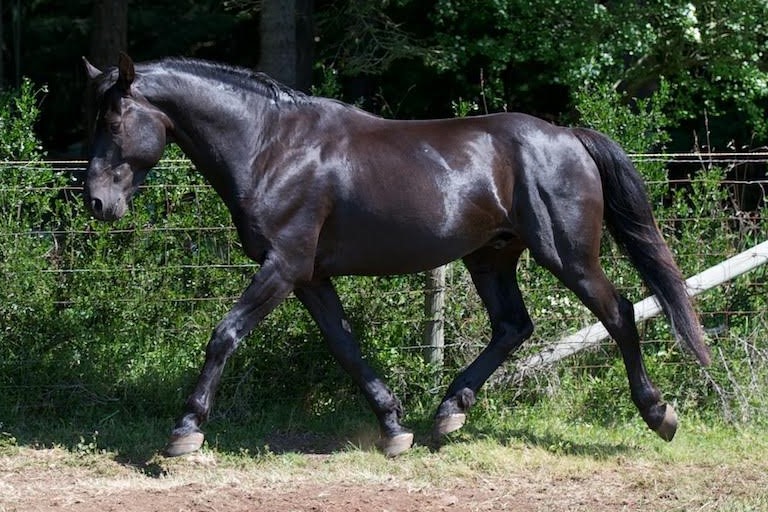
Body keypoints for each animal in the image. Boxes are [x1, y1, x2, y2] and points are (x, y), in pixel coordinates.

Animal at [82, 53, 710, 457]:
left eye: (114, 118)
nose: (96, 201)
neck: (272, 147)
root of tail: (569, 136)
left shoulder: (283, 266)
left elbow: (225, 334)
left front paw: (186, 430)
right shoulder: (308, 276)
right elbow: (345, 347)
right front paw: (392, 428)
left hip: (568, 255)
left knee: (619, 313)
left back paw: (659, 415)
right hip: (491, 257)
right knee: (513, 326)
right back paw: (449, 412)